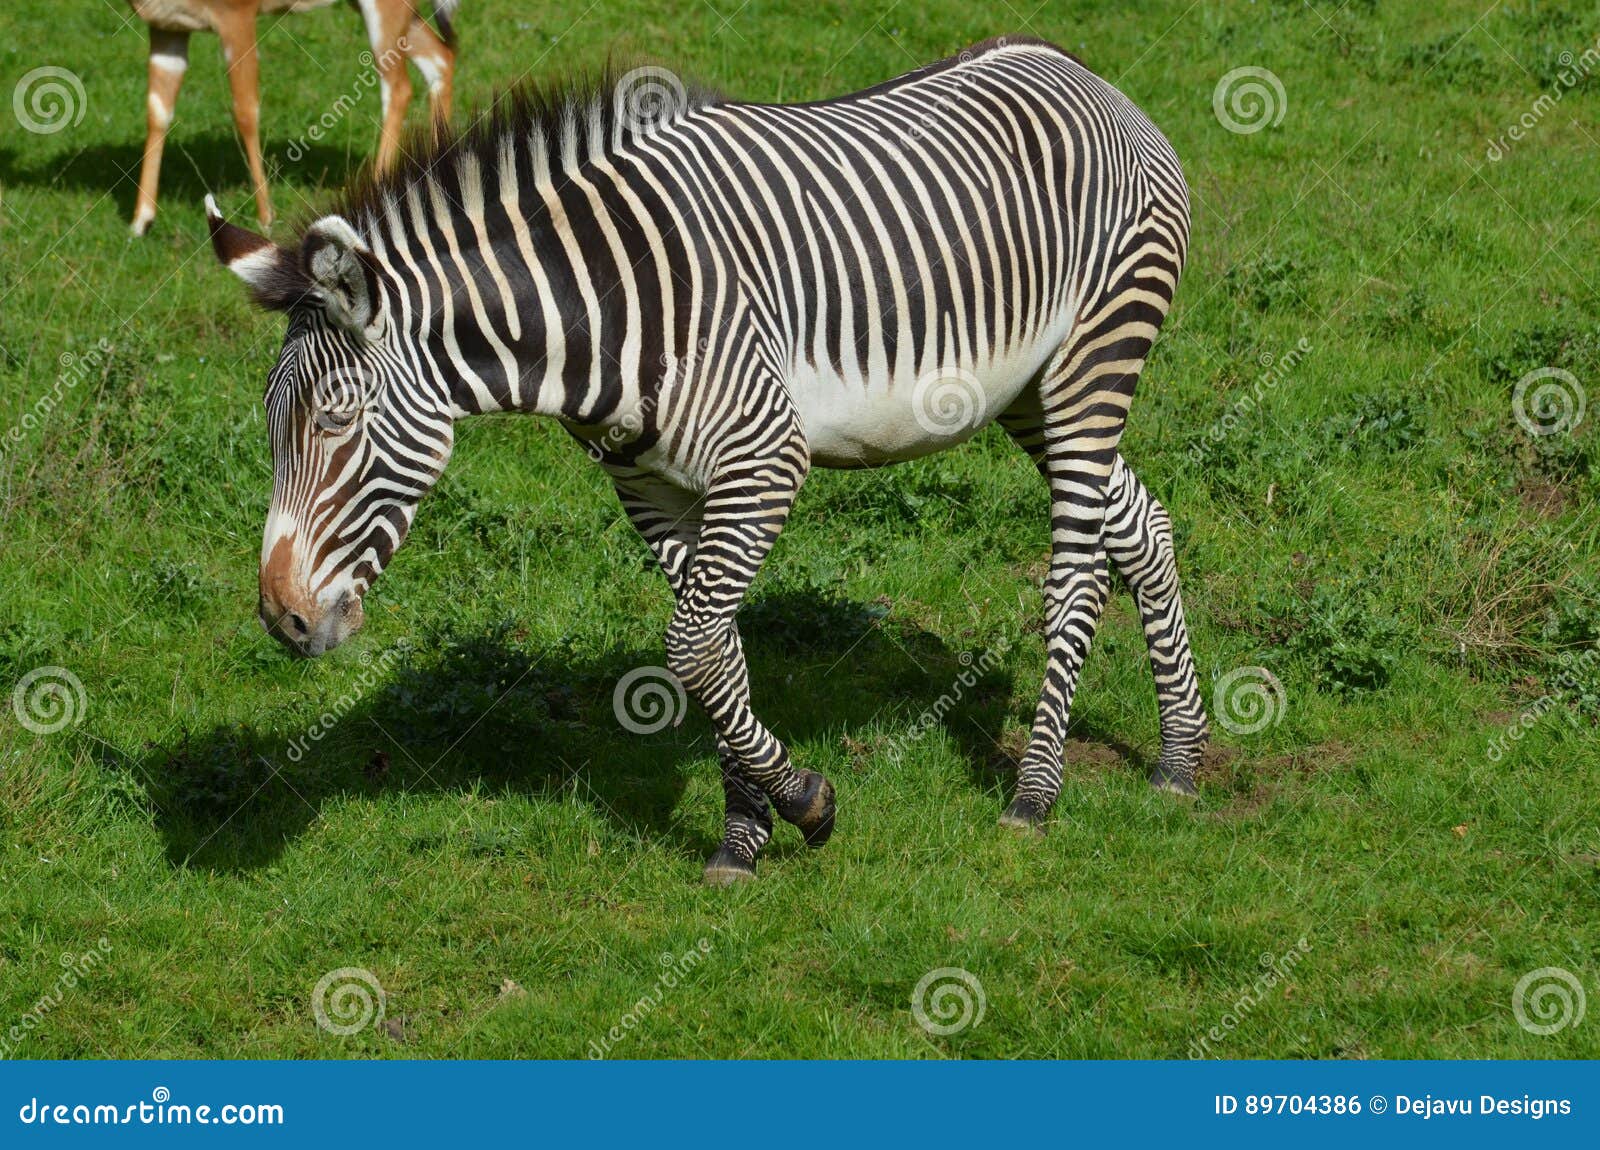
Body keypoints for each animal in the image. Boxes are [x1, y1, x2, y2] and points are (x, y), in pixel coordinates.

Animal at [206, 36, 1208, 883]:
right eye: (271, 424)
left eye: (337, 423)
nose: (280, 620)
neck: (597, 308)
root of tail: (1083, 72)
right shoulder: (648, 484)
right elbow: (715, 647)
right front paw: (743, 833)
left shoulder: (765, 454)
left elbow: (691, 644)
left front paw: (806, 802)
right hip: (1028, 394)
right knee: (1142, 523)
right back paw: (1182, 759)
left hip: (1094, 358)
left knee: (1076, 570)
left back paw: (1036, 793)